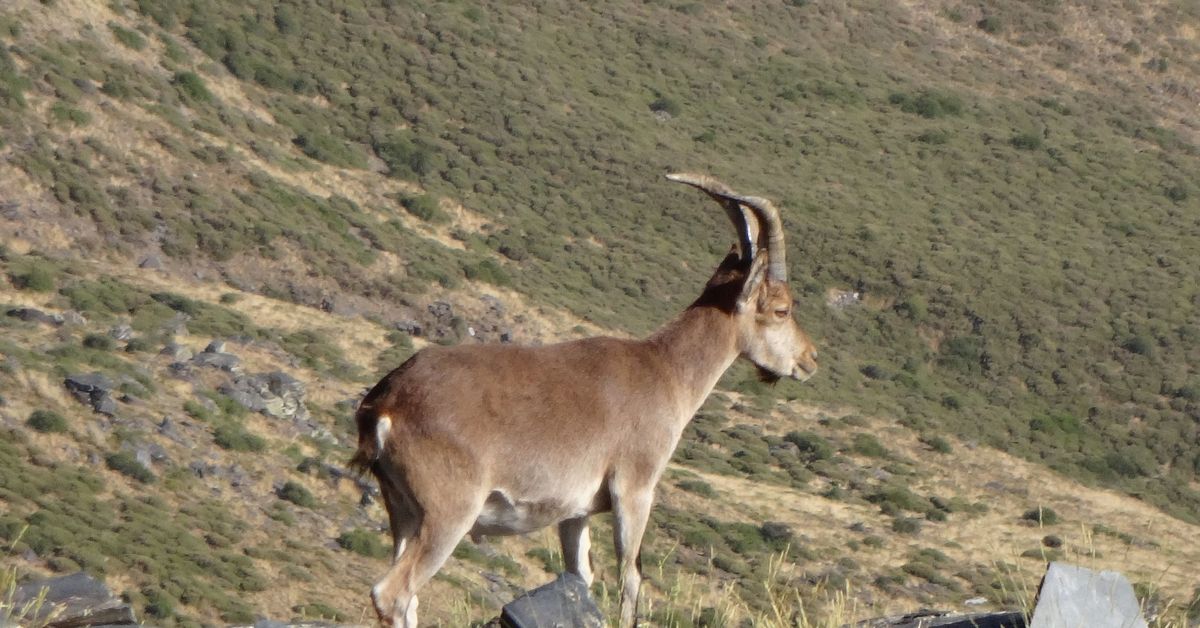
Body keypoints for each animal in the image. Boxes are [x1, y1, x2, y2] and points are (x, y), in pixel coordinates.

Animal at [350, 173, 818, 627]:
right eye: (781, 309)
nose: (809, 360)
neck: (664, 370)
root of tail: (386, 403)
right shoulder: (635, 488)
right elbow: (630, 575)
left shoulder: (574, 512)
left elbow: (581, 574)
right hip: (447, 514)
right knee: (394, 592)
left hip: (403, 511)